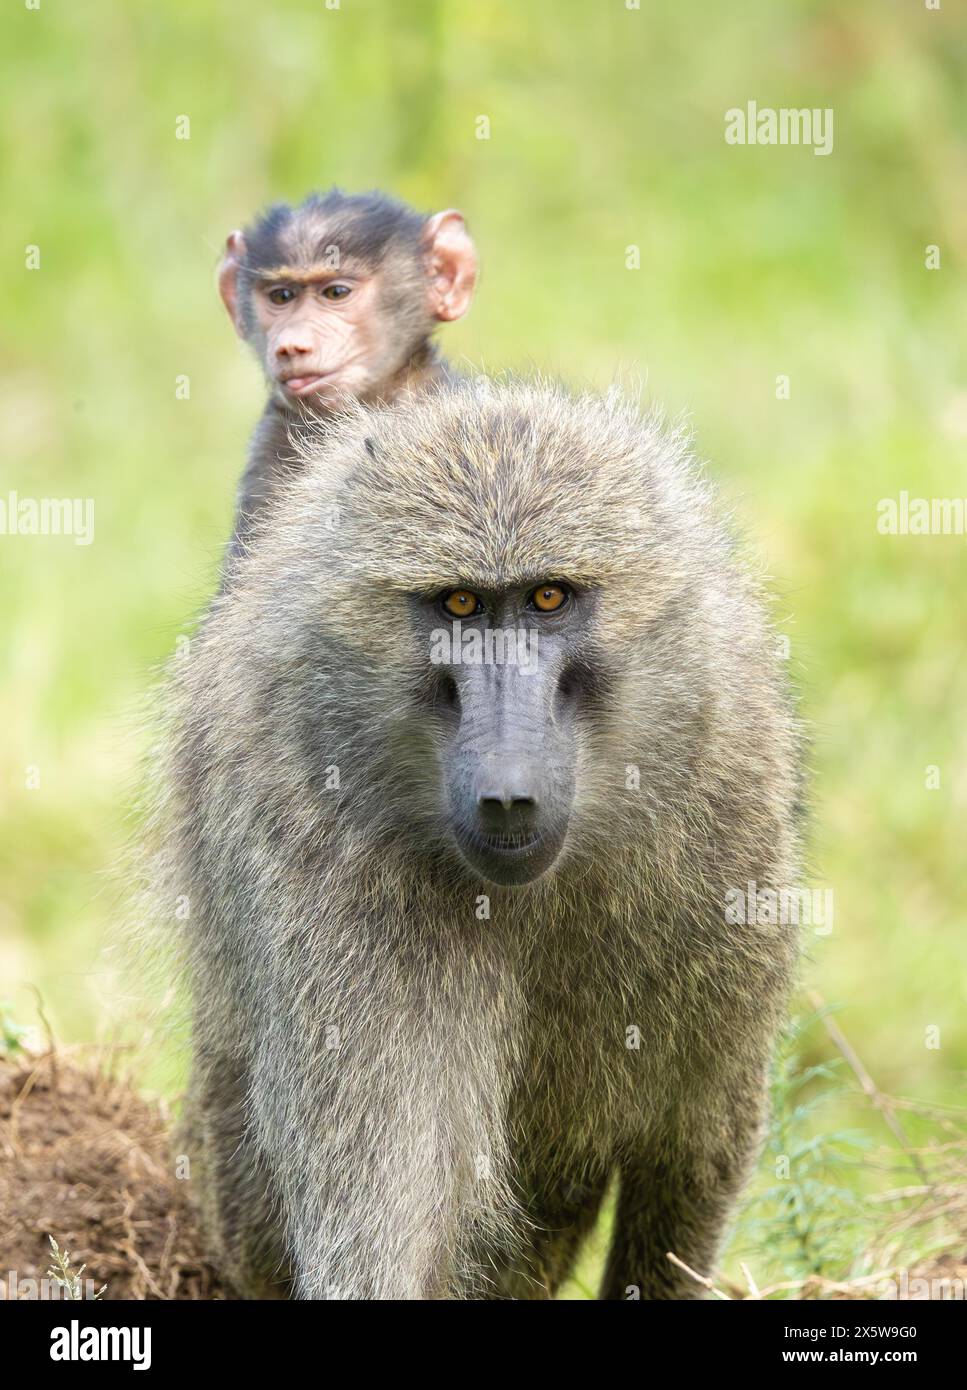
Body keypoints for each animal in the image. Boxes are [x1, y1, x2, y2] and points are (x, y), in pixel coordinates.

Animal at [159, 379, 802, 1299]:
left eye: (548, 599)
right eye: (458, 604)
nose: (507, 792)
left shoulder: (727, 808)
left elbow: (689, 1156)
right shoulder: (315, 858)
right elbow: (382, 1227)